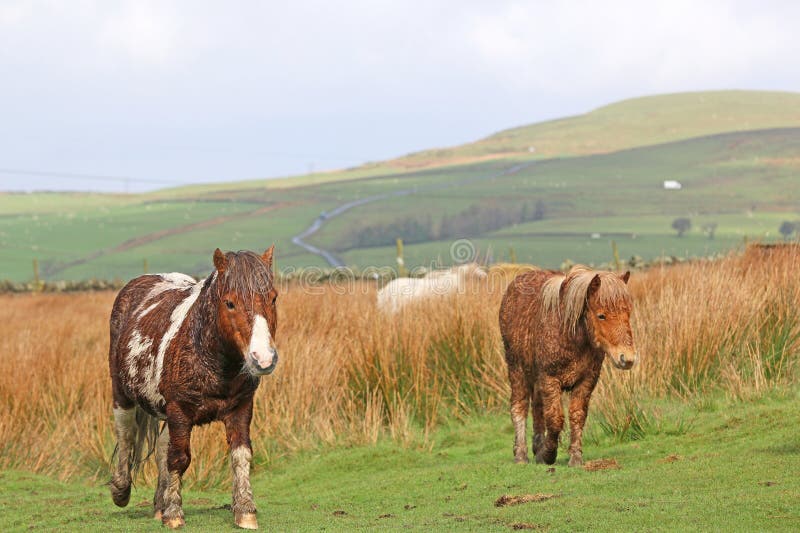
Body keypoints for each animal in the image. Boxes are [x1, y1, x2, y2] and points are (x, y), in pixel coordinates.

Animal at [108, 247, 279, 530]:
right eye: (230, 303)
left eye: (273, 298)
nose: (263, 358)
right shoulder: (179, 410)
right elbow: (178, 458)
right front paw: (174, 514)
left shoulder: (241, 407)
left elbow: (241, 455)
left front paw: (245, 511)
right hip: (122, 393)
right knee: (126, 435)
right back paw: (121, 490)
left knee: (160, 447)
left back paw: (160, 503)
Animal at [499, 265, 638, 466]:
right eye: (601, 315)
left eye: (628, 313)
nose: (627, 358)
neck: (568, 334)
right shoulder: (550, 379)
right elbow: (555, 419)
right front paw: (549, 453)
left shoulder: (586, 381)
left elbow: (577, 415)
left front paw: (575, 456)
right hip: (517, 371)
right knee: (519, 407)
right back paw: (521, 455)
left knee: (537, 408)